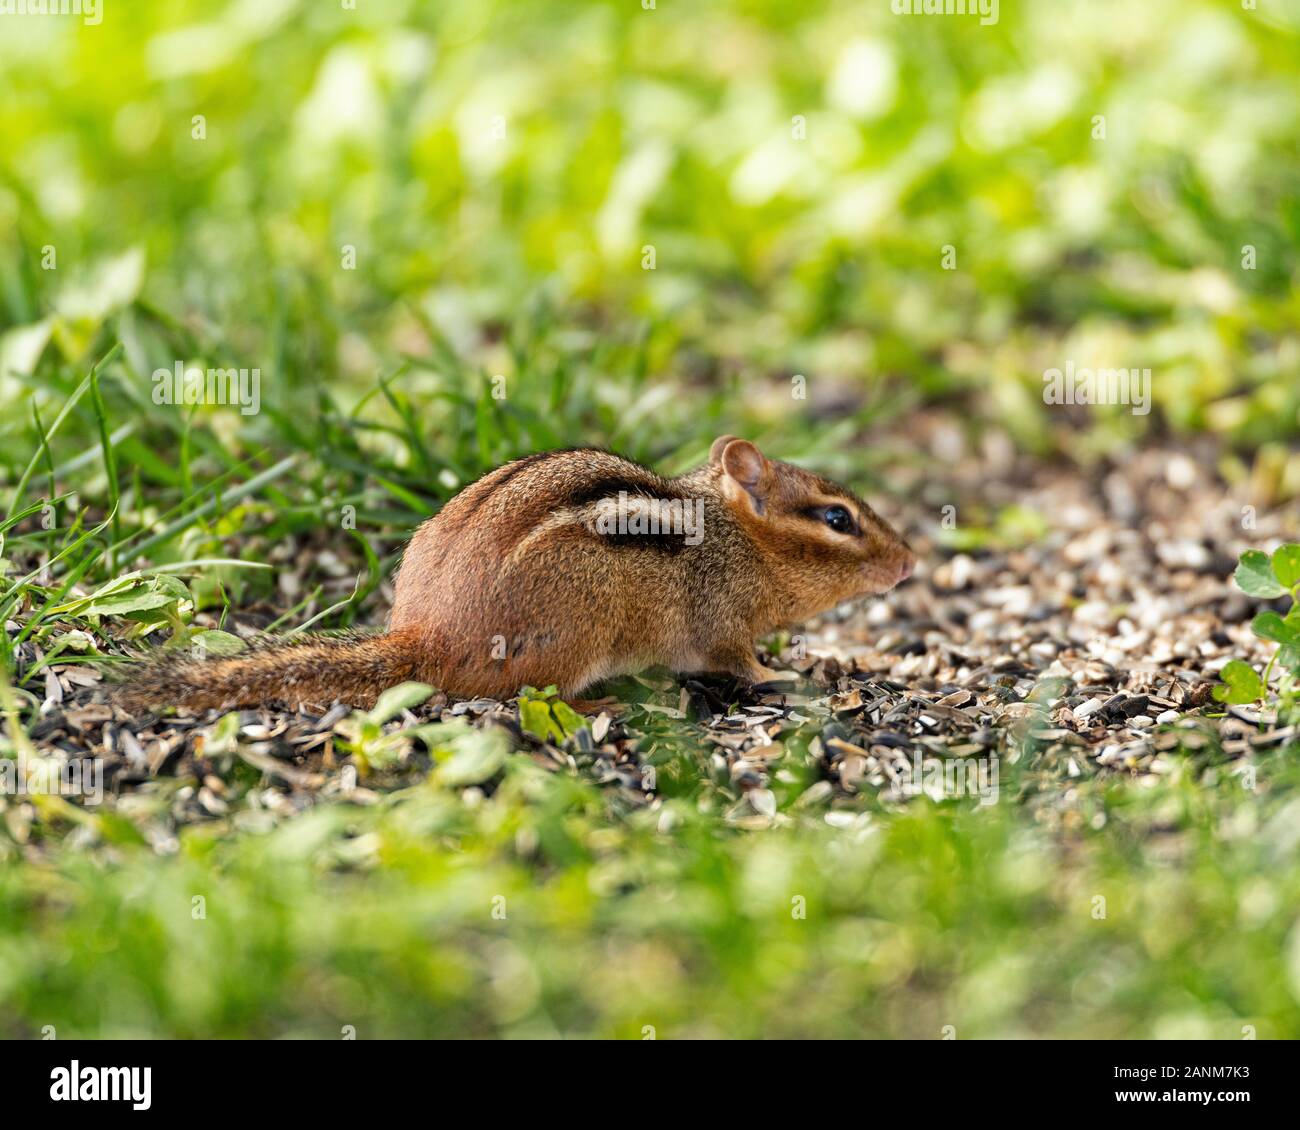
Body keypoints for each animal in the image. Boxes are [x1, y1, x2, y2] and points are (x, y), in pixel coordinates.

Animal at [117, 436, 914, 713]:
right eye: (837, 518)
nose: (909, 562)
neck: (738, 540)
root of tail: (425, 634)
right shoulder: (721, 622)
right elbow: (740, 662)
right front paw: (782, 675)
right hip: (582, 629)